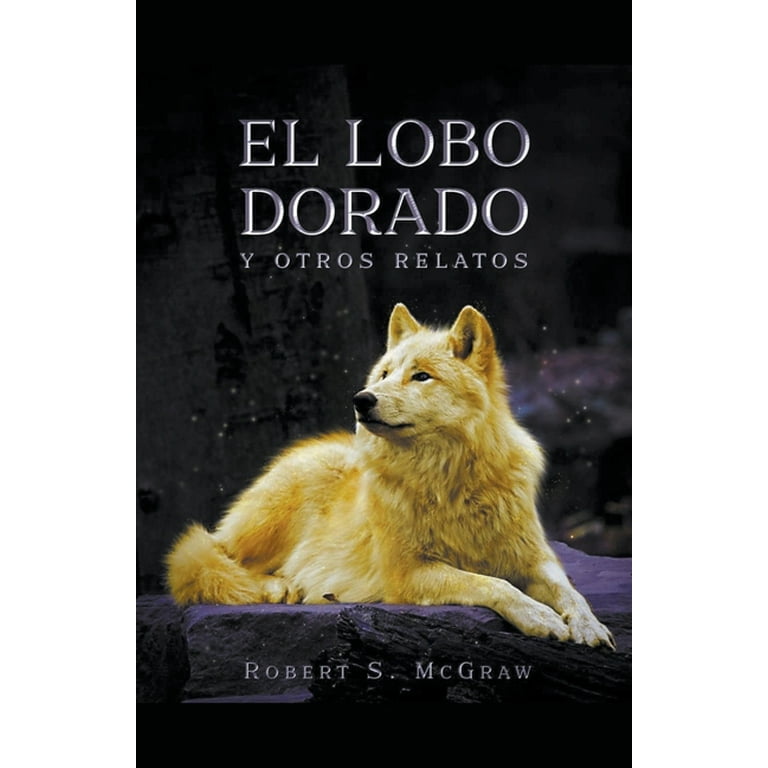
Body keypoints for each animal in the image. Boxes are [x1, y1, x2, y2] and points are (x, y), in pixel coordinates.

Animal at [166, 303, 615, 648]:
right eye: (384, 374)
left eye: (421, 376)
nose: (362, 400)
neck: (449, 481)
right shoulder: (408, 574)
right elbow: (494, 585)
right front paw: (542, 618)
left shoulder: (535, 559)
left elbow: (570, 592)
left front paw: (589, 627)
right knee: (207, 560)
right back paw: (280, 587)